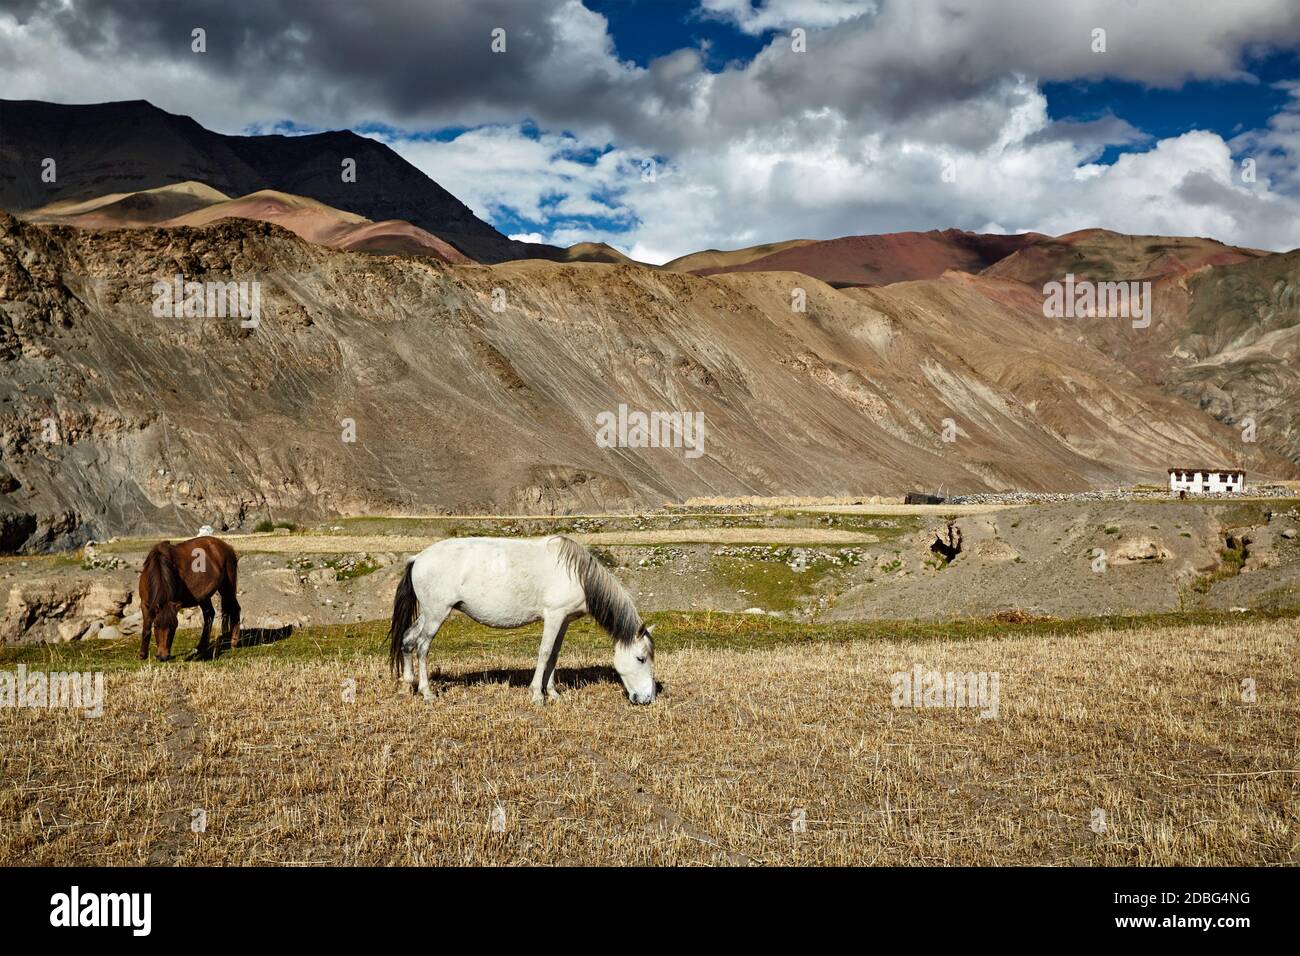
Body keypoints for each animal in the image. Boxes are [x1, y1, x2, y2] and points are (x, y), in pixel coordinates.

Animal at [388, 535, 656, 705]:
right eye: (641, 658)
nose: (647, 698)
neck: (578, 575)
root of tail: (418, 558)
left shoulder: (564, 620)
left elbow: (555, 654)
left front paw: (553, 693)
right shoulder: (554, 616)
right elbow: (545, 652)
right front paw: (537, 695)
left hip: (428, 614)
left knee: (408, 640)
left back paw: (406, 685)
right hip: (436, 614)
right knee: (422, 647)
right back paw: (426, 692)